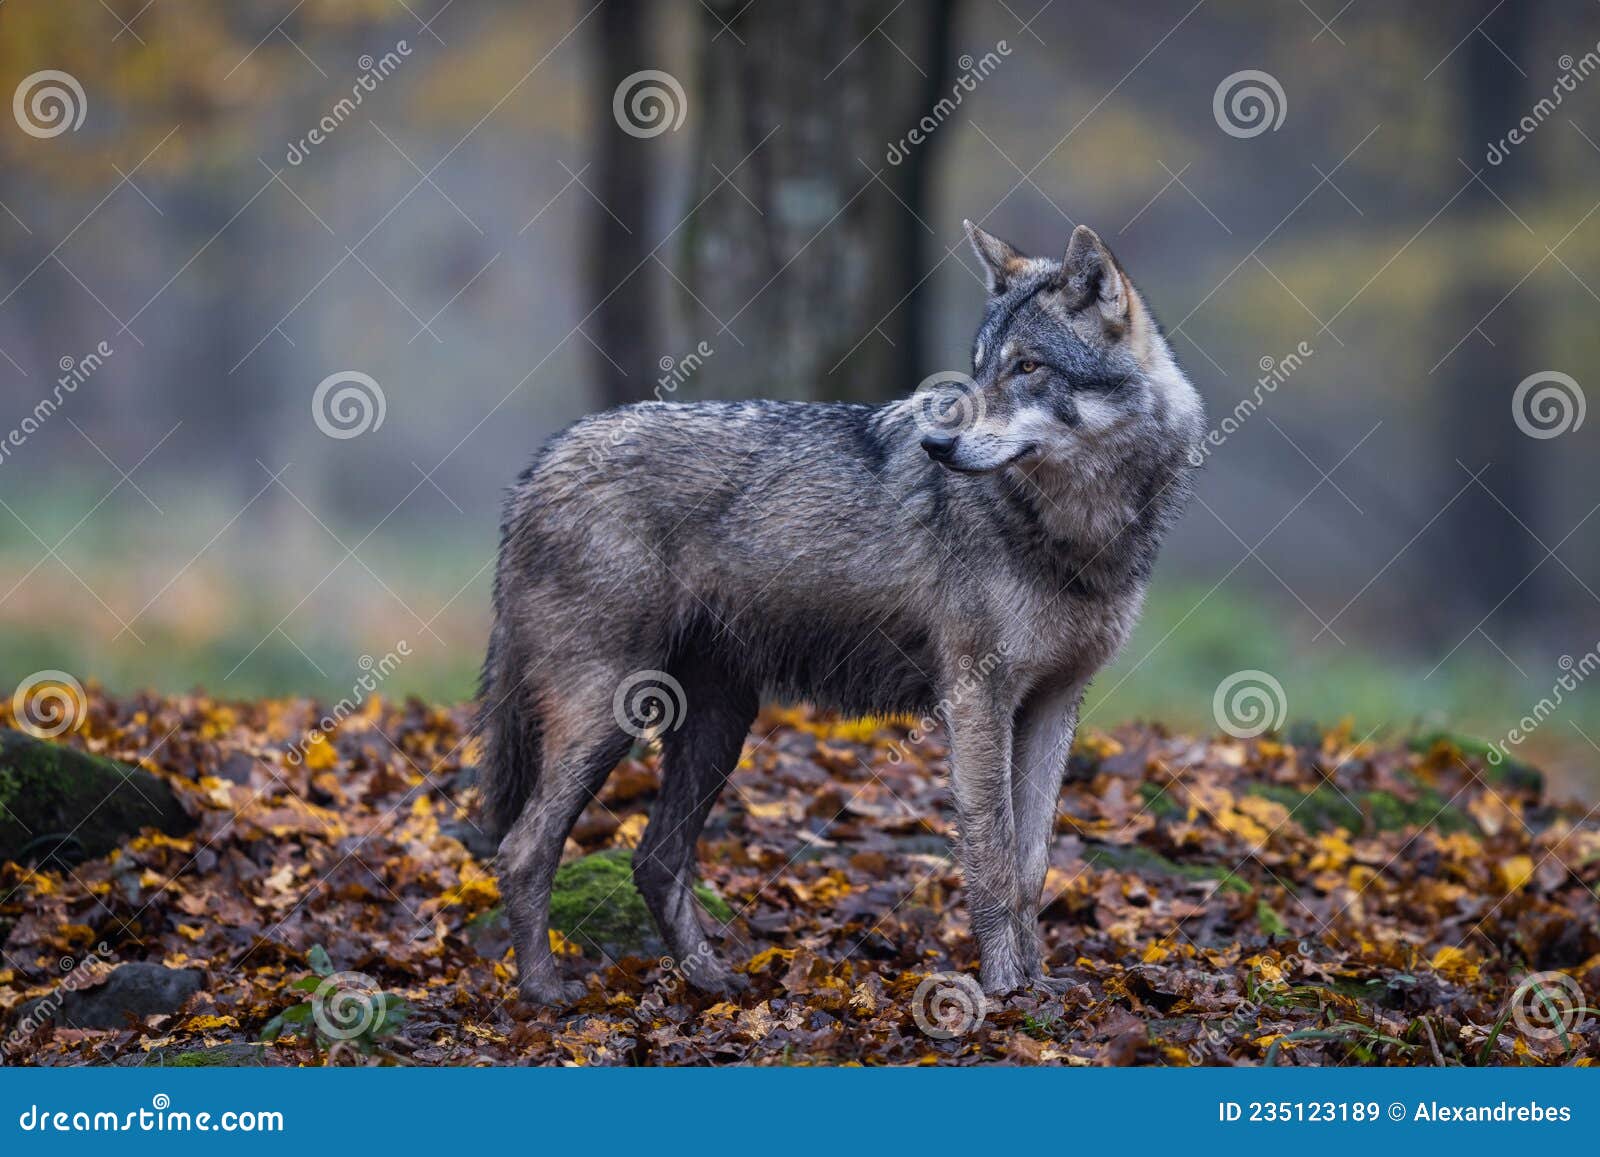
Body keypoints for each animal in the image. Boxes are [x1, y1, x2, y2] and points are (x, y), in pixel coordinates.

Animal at [477, 222, 1204, 1005]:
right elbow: (992, 861)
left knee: (654, 857)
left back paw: (715, 984)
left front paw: (1041, 986)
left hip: (718, 728)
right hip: (610, 717)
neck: (1074, 533)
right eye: (977, 369)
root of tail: (536, 470)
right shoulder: (977, 700)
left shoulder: (1054, 702)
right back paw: (545, 993)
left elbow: (1032, 866)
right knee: (522, 849)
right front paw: (1004, 994)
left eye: (1029, 366)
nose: (937, 446)